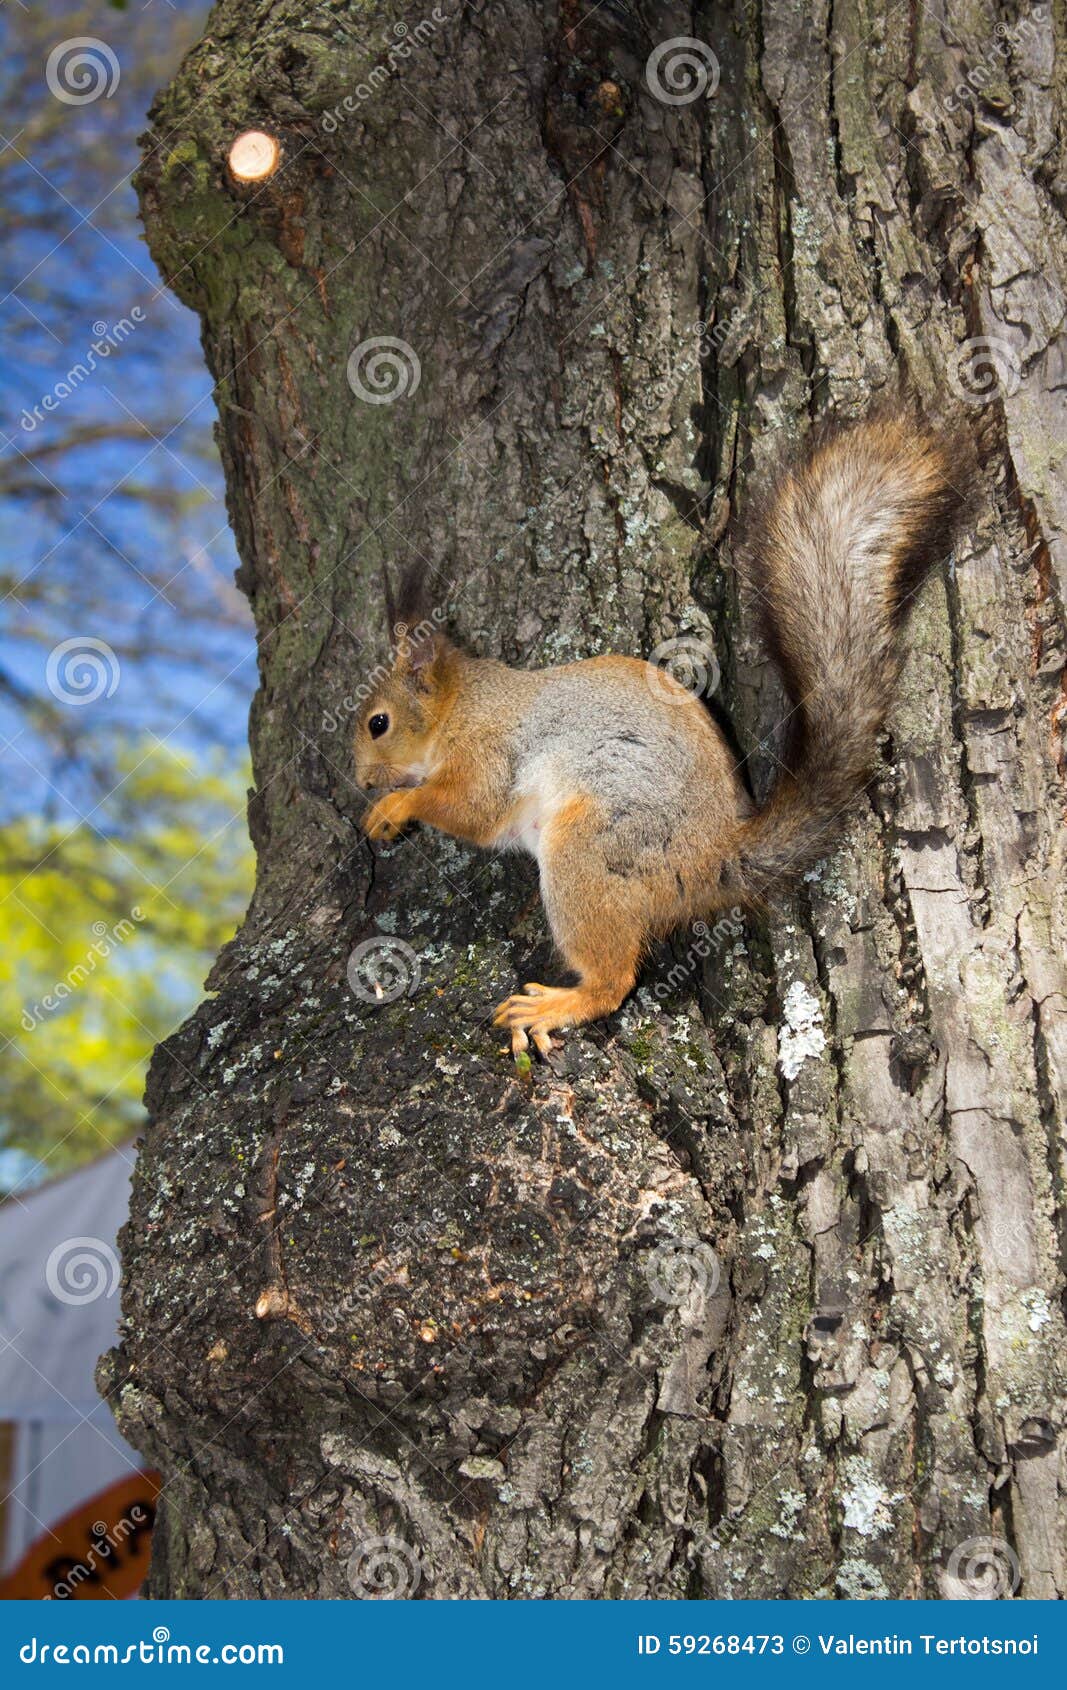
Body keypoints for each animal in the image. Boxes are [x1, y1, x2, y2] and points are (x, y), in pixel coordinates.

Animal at [355, 409, 968, 1059]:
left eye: (378, 723)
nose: (361, 779)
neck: (462, 708)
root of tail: (715, 856)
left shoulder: (488, 753)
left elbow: (469, 808)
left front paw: (395, 806)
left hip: (592, 850)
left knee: (614, 979)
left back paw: (557, 1004)